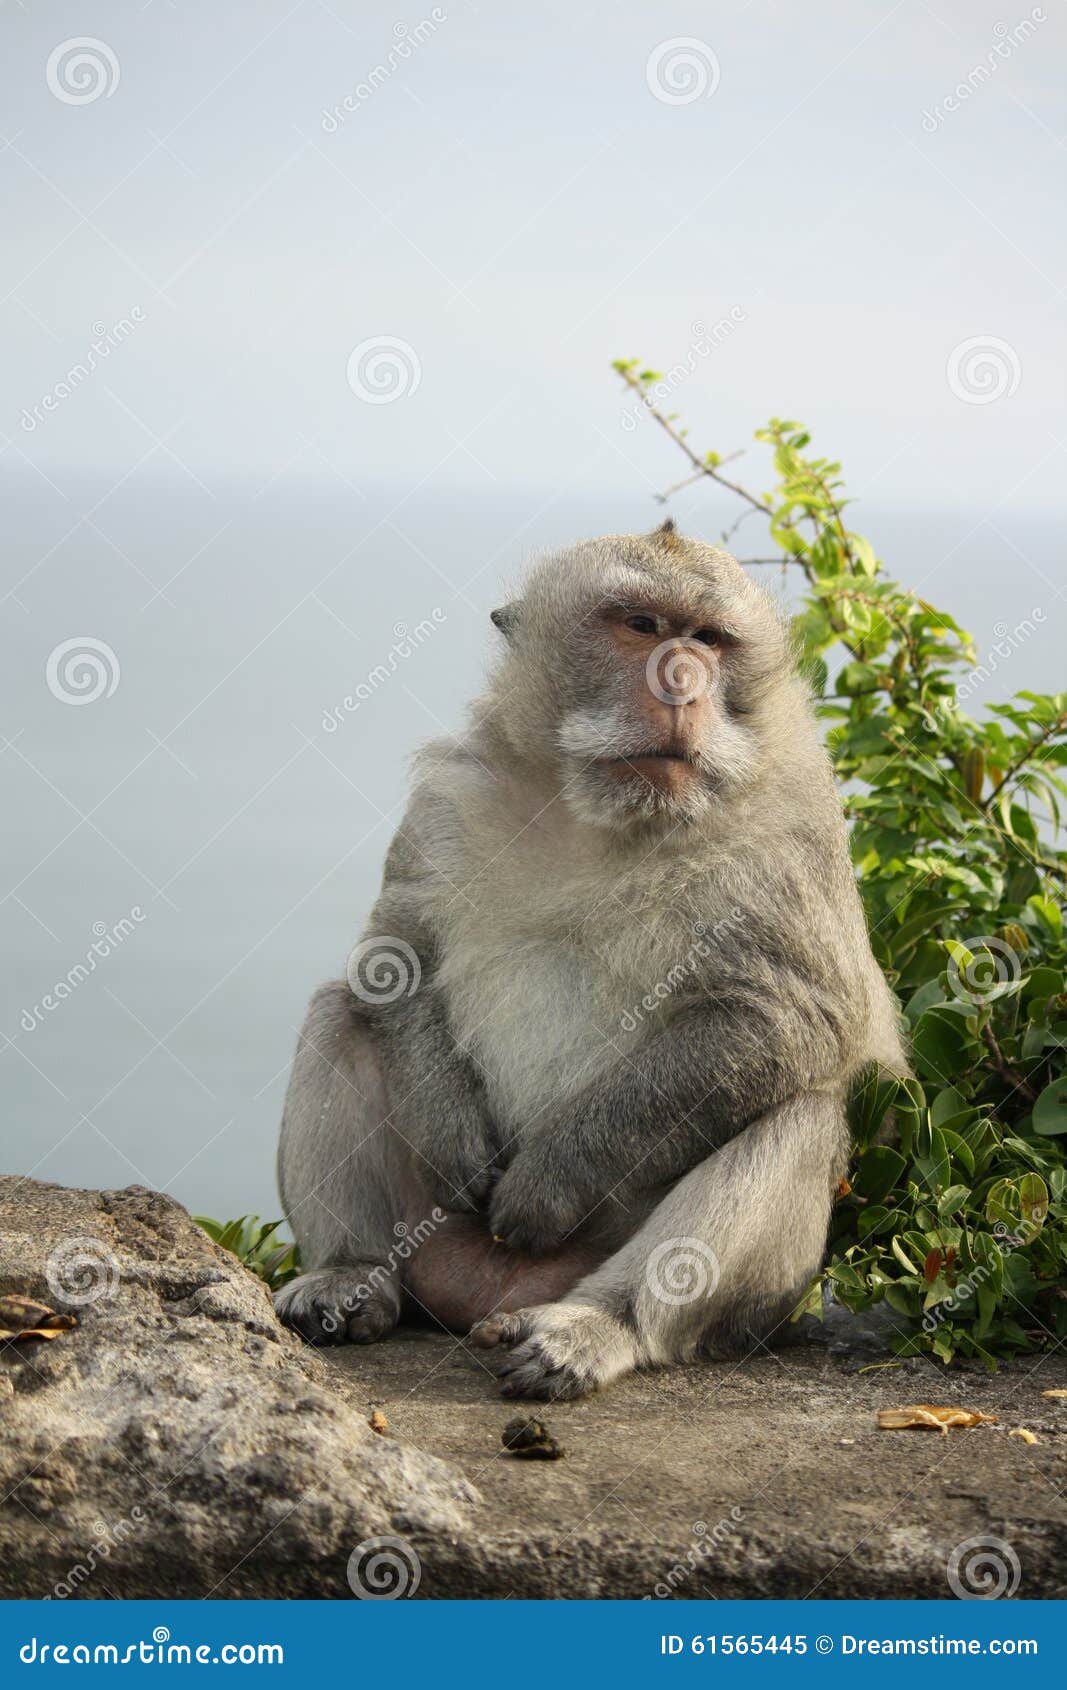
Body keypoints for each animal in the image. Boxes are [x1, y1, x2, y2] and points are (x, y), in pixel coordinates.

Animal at [274, 521, 906, 1399]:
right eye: (638, 625)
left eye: (708, 639)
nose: (680, 682)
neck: (607, 816)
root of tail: (491, 1293)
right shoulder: (450, 796)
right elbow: (396, 951)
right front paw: (450, 1133)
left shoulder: (792, 830)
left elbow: (794, 1013)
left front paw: (548, 1180)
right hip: (424, 1230)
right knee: (340, 1011)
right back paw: (350, 1274)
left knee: (795, 1113)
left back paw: (596, 1326)